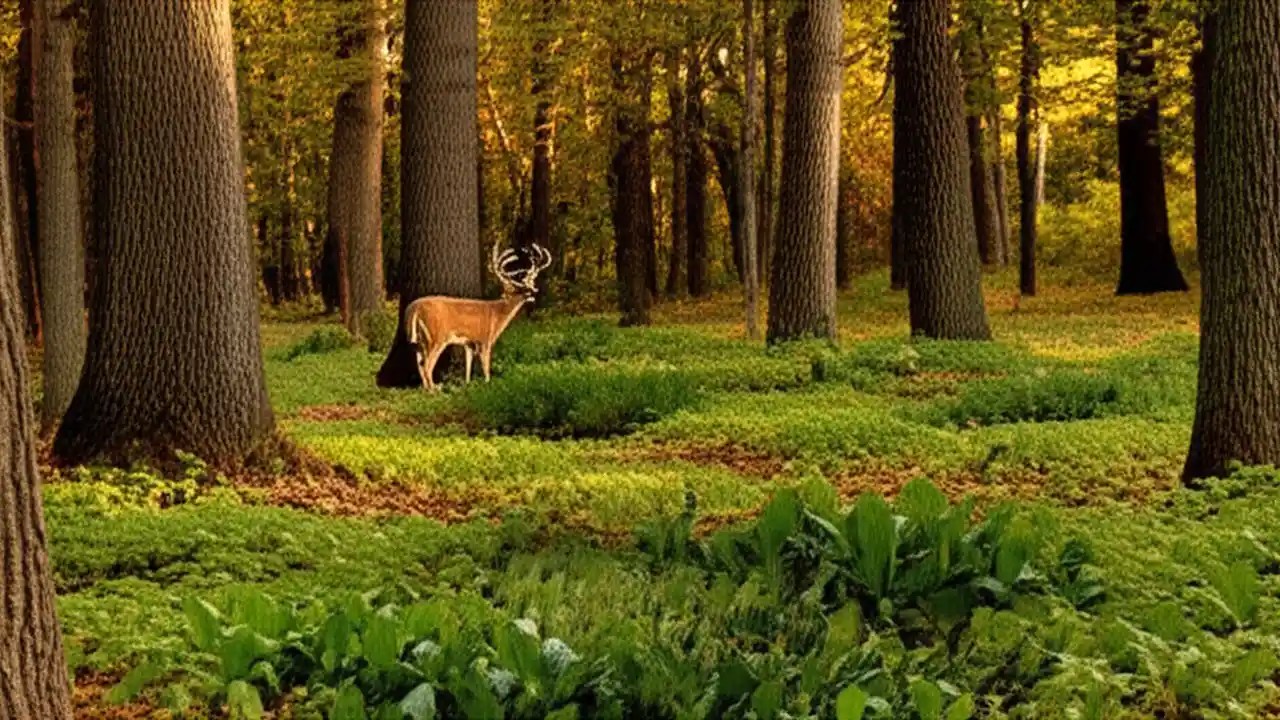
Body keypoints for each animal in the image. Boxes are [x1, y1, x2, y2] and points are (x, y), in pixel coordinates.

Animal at [404, 243, 553, 391]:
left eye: (531, 283)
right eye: (522, 288)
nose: (534, 291)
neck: (498, 314)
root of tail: (414, 308)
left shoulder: (469, 342)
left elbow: (468, 368)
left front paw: (468, 386)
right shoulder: (485, 338)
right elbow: (486, 368)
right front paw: (487, 385)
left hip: (420, 340)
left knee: (419, 364)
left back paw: (427, 389)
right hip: (436, 337)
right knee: (426, 365)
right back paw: (434, 389)